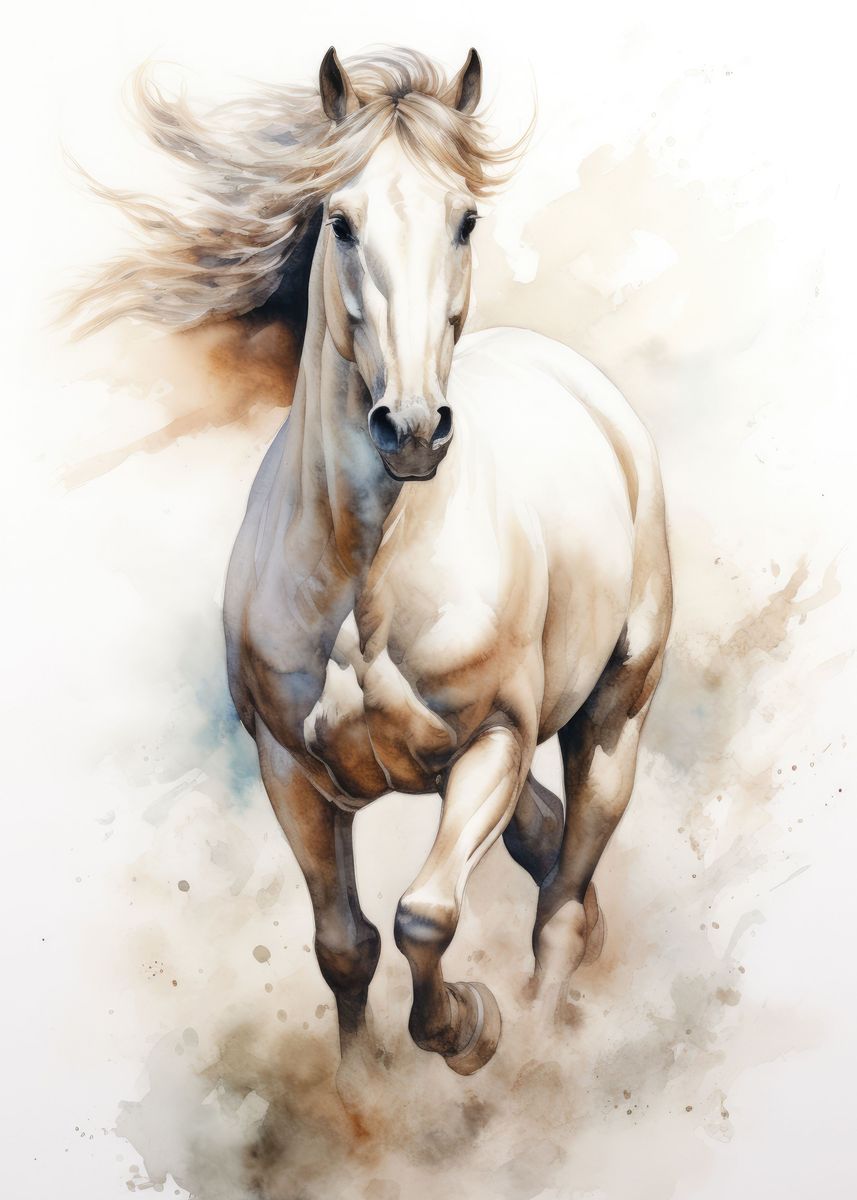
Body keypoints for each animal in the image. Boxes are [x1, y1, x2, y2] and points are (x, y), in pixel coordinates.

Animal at [73, 46, 672, 1079]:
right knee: (547, 849)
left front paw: (468, 1029)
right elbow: (343, 945)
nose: (413, 429)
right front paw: (365, 1092)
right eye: (340, 221)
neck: (365, 575)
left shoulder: (492, 745)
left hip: (612, 717)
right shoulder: (291, 770)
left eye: (464, 217)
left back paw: (538, 1052)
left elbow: (424, 916)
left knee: (560, 901)